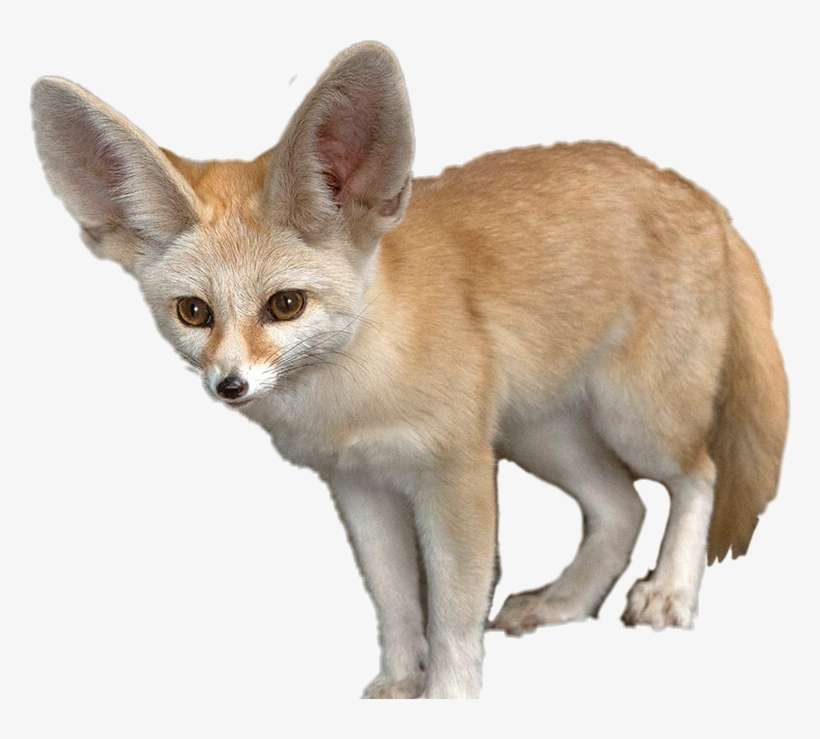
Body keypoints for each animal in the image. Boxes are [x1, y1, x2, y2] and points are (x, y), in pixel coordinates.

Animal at [31, 42, 788, 699]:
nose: (231, 385)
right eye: (194, 312)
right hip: (544, 436)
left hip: (633, 418)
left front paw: (449, 697)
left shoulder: (455, 473)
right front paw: (399, 684)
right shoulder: (359, 485)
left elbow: (452, 611)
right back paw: (564, 602)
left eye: (284, 304)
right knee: (621, 506)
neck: (353, 395)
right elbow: (395, 603)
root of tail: (695, 192)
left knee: (697, 476)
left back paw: (671, 592)